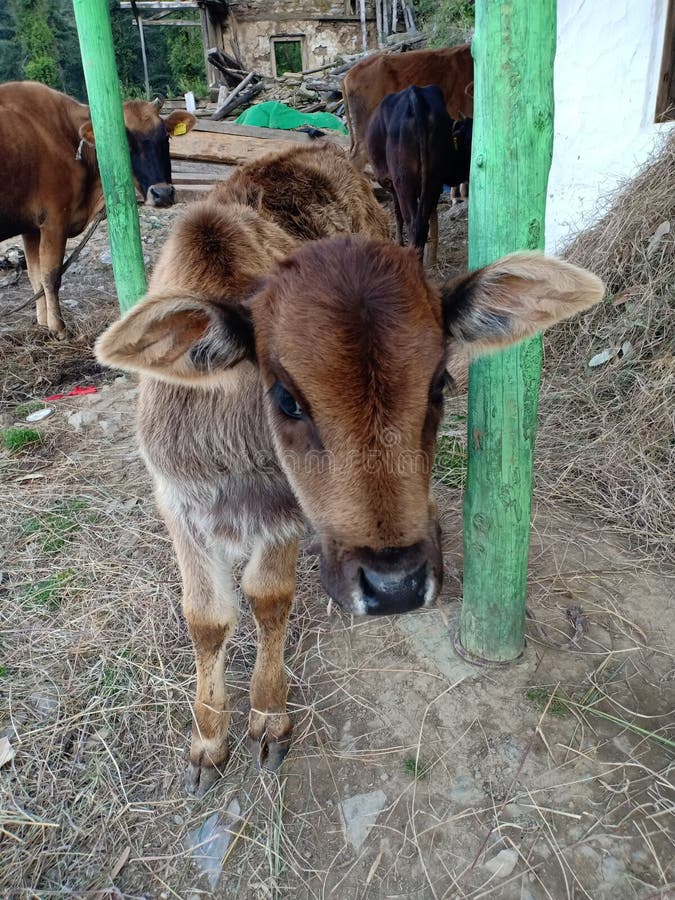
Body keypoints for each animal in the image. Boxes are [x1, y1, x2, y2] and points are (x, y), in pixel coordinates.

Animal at [0, 81, 196, 339]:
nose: (163, 193)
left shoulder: (32, 227)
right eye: (124, 142)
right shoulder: (55, 219)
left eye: (165, 137)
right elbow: (51, 276)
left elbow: (35, 278)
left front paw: (43, 324)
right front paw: (59, 329)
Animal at [95, 150, 604, 797]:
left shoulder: (285, 514)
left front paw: (269, 718)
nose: (396, 585)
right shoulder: (178, 501)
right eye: (286, 397)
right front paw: (208, 744)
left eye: (441, 382)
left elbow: (267, 598)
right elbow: (207, 619)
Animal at [366, 85, 472, 267]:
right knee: (422, 223)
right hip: (431, 179)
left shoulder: (393, 186)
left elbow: (398, 215)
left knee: (412, 222)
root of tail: (415, 96)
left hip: (403, 182)